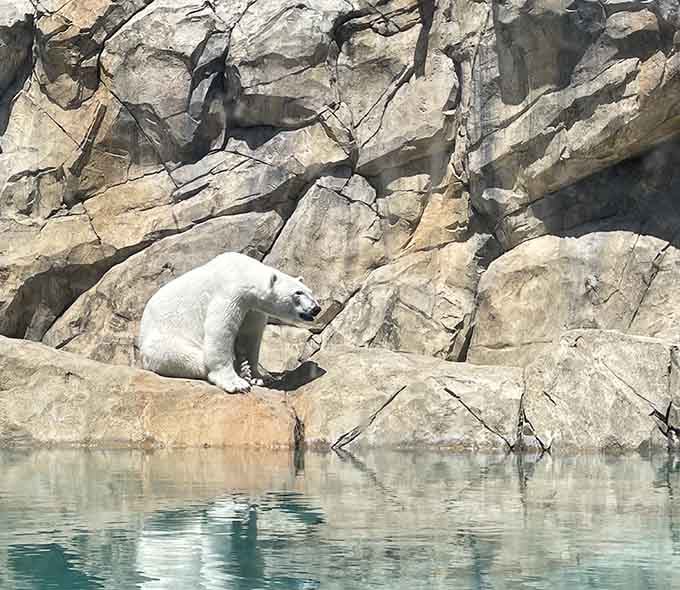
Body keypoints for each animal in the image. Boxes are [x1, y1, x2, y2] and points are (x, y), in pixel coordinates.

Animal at [138, 252, 321, 393]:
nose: (316, 308)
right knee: (191, 357)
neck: (243, 272)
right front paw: (237, 384)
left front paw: (258, 377)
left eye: (310, 291)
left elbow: (250, 336)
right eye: (298, 293)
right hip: (164, 343)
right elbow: (221, 331)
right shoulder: (229, 294)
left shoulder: (252, 308)